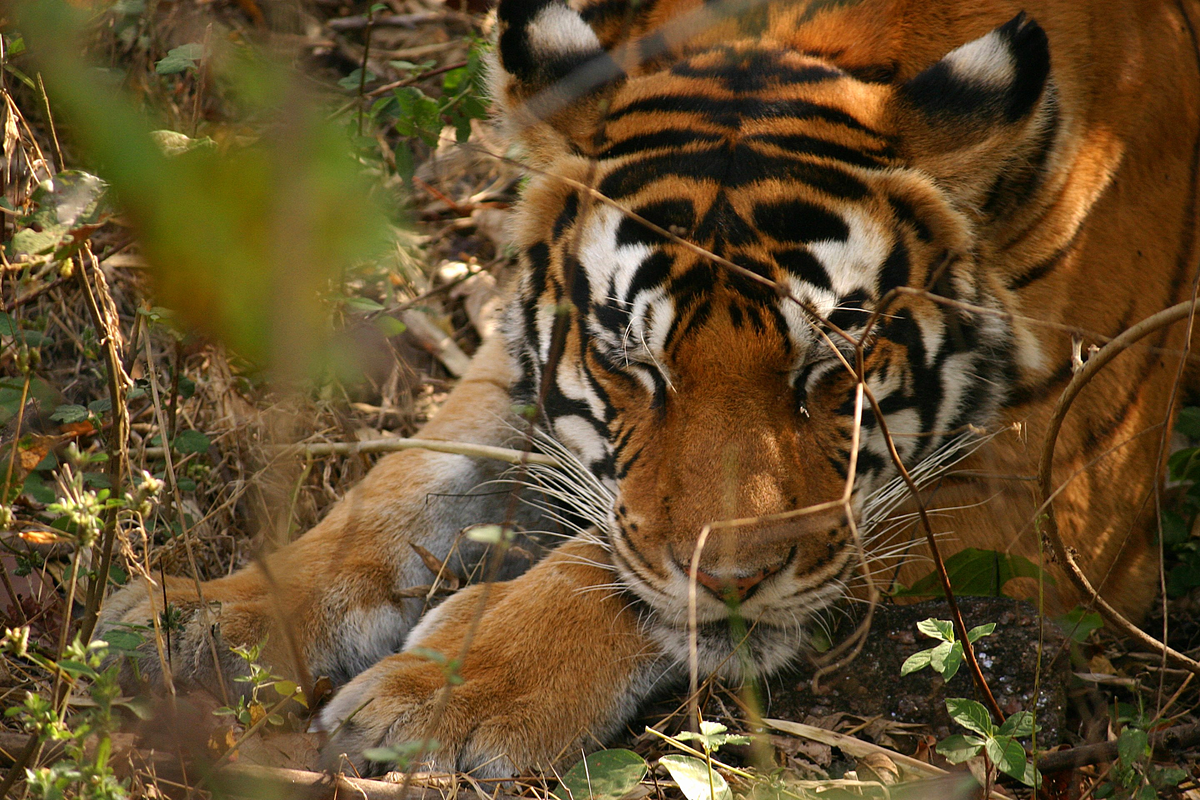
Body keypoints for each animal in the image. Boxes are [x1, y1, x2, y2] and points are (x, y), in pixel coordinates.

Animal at [103, 0, 1200, 782]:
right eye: (630, 360)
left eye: (832, 367)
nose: (736, 584)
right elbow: (410, 478)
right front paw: (206, 618)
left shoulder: (1052, 494)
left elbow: (606, 562)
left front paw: (441, 693)